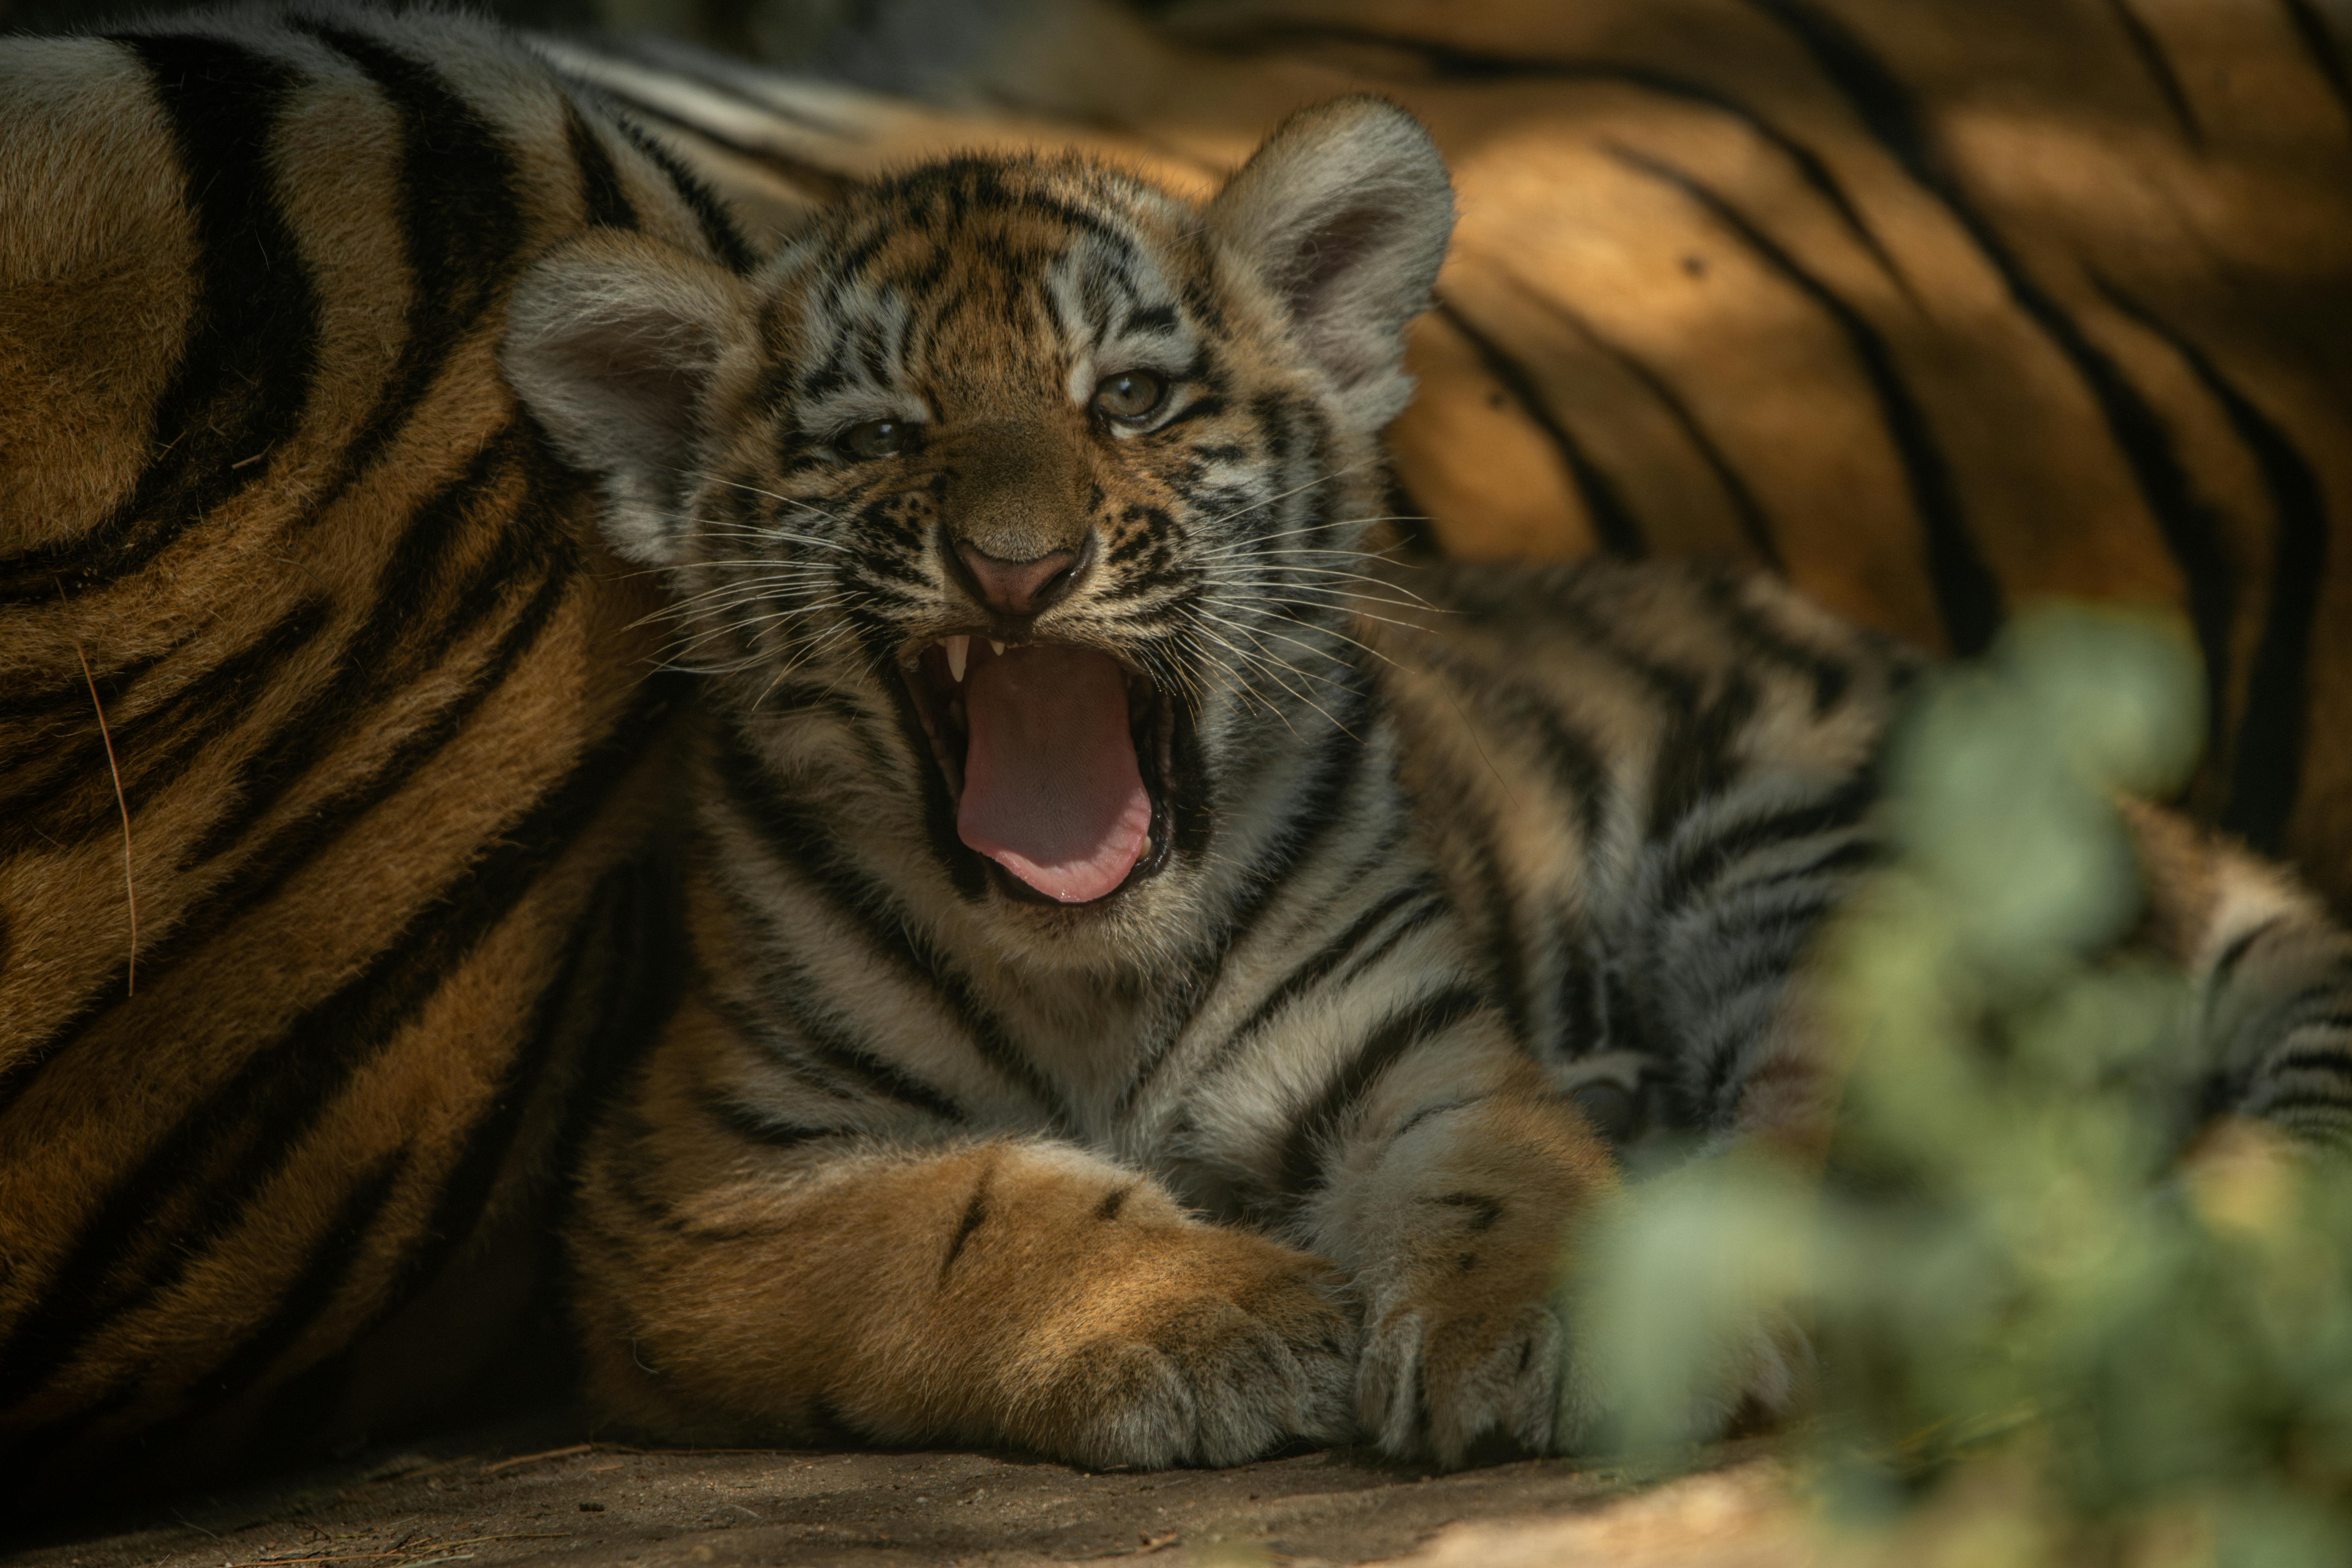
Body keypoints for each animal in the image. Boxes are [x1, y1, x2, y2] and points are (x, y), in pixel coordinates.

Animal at [496, 92, 2352, 1470]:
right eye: (884, 438)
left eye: (1133, 399)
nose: (1017, 568)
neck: (1091, 979)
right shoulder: (692, 1181)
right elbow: (956, 1221)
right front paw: (1214, 1321)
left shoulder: (1422, 1054)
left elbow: (1498, 1184)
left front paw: (1536, 1330)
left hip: (1813, 853)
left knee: (1881, 1162)